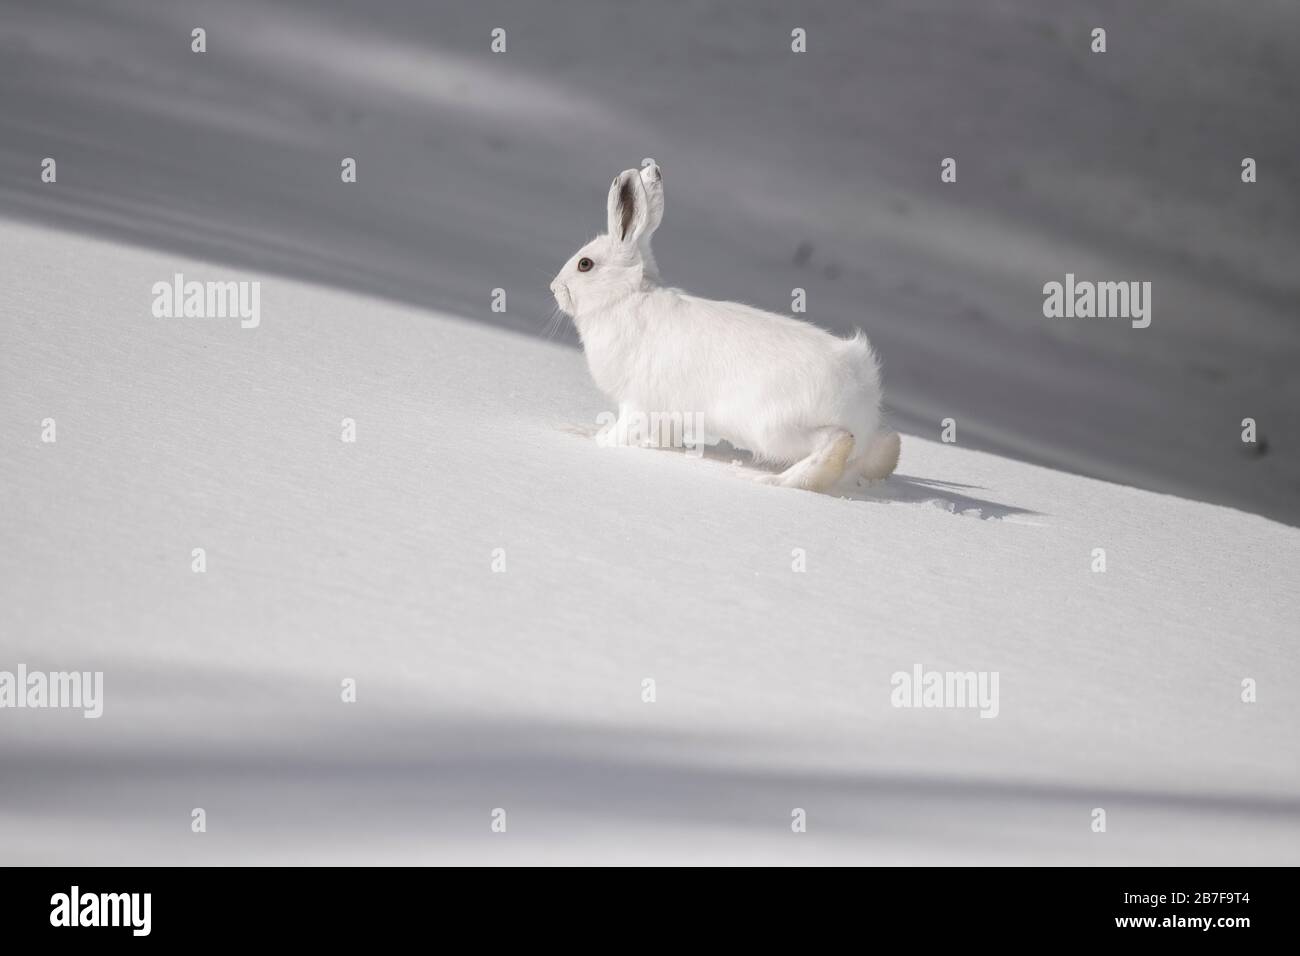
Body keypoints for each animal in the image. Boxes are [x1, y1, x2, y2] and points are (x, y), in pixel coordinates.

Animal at [550, 159, 900, 492]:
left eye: (585, 265)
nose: (554, 288)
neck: (625, 296)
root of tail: (861, 383)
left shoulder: (637, 402)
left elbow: (624, 431)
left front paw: (596, 439)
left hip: (774, 427)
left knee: (836, 441)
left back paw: (776, 481)